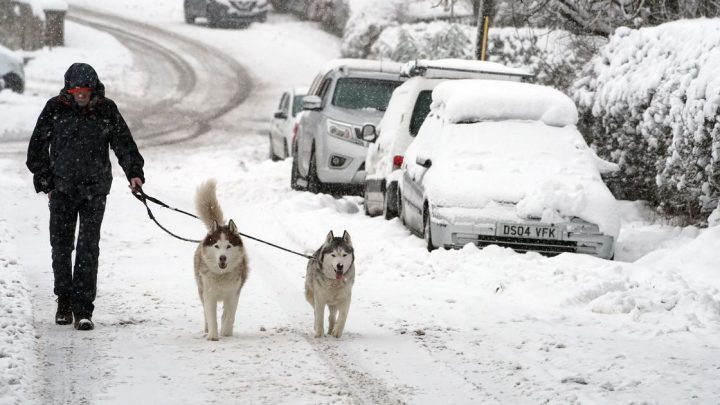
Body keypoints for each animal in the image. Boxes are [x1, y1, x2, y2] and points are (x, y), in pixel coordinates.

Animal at [194, 178, 248, 340]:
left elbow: (229, 315)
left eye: (228, 246)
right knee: (205, 313)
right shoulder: (209, 294)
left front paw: (226, 332)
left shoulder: (233, 294)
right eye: (217, 246)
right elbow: (211, 315)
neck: (221, 275)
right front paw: (213, 335)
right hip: (201, 289)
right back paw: (207, 329)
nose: (222, 258)